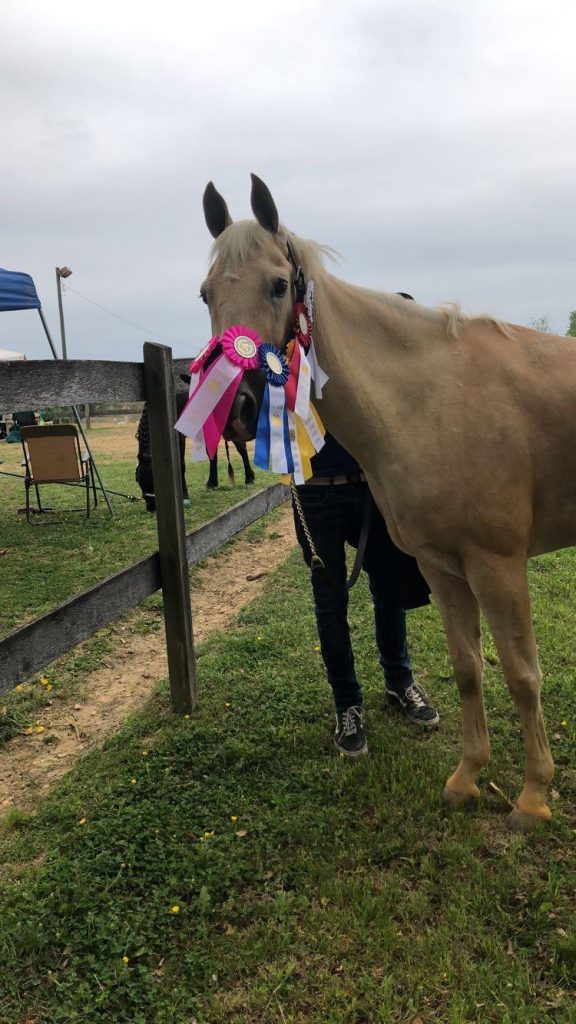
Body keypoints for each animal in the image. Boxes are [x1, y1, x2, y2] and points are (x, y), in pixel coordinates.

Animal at [198, 173, 576, 830]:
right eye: (204, 294)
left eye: (278, 284)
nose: (238, 411)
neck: (429, 399)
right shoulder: (443, 567)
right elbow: (468, 668)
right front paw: (467, 778)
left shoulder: (499, 567)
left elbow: (523, 676)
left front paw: (532, 798)